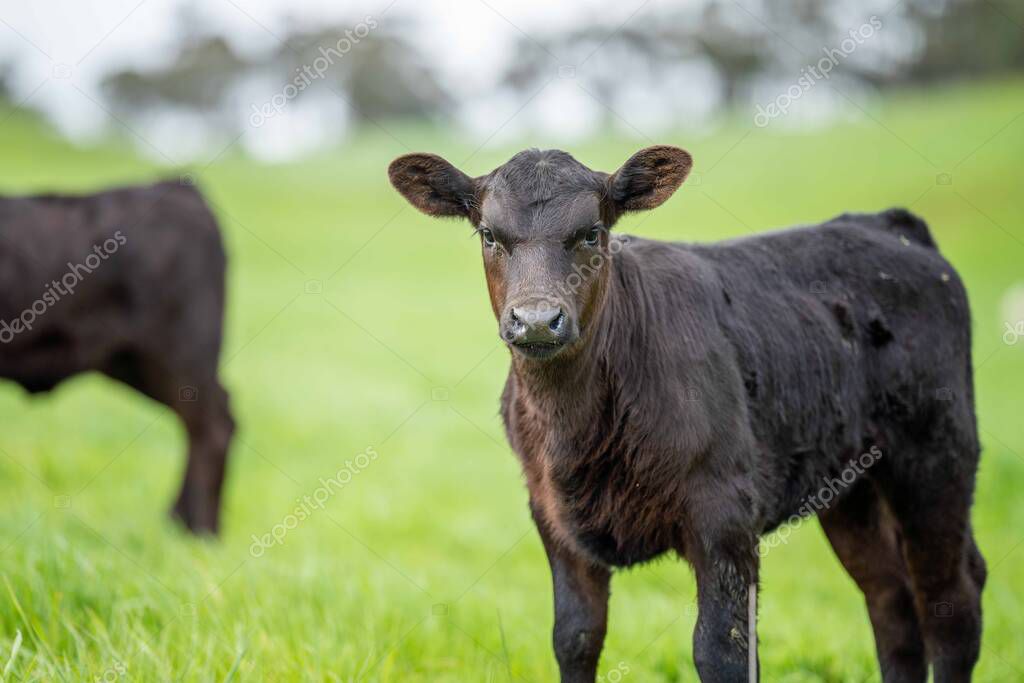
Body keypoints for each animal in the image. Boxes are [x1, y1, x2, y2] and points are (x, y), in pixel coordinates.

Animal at [388, 146, 985, 682]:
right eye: (489, 234)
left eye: (592, 233)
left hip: (935, 456)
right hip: (852, 486)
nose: (536, 320)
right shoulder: (553, 518)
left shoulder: (725, 515)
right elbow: (575, 638)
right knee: (890, 598)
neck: (578, 428)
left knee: (950, 598)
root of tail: (886, 224)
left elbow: (722, 650)